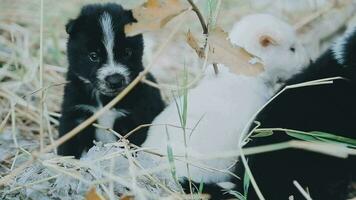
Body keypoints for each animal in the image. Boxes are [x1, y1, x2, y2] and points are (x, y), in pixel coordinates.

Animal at [57, 3, 165, 158]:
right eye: (93, 56)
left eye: (127, 52)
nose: (115, 80)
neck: (104, 100)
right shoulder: (75, 115)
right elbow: (68, 145)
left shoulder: (134, 119)